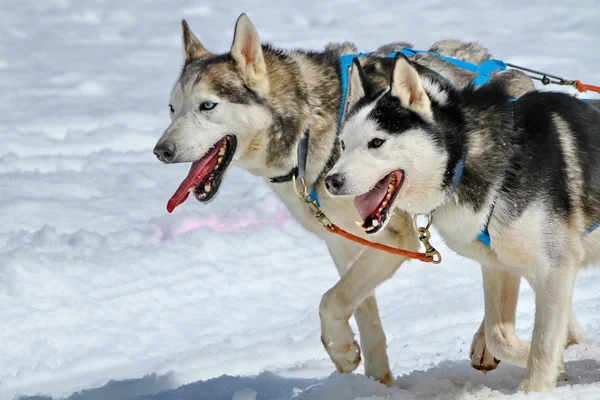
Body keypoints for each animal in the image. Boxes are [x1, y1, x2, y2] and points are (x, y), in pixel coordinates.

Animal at [152, 13, 536, 384]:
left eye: (207, 106)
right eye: (171, 108)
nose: (161, 151)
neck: (306, 131)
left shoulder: (396, 238)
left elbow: (331, 300)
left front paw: (340, 351)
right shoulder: (344, 242)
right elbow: (362, 312)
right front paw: (374, 381)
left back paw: (487, 343)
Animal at [328, 52, 600, 390]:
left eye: (376, 142)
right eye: (342, 144)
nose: (331, 181)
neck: (463, 156)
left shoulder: (556, 268)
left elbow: (544, 344)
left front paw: (534, 388)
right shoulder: (500, 266)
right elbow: (499, 336)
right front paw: (546, 354)